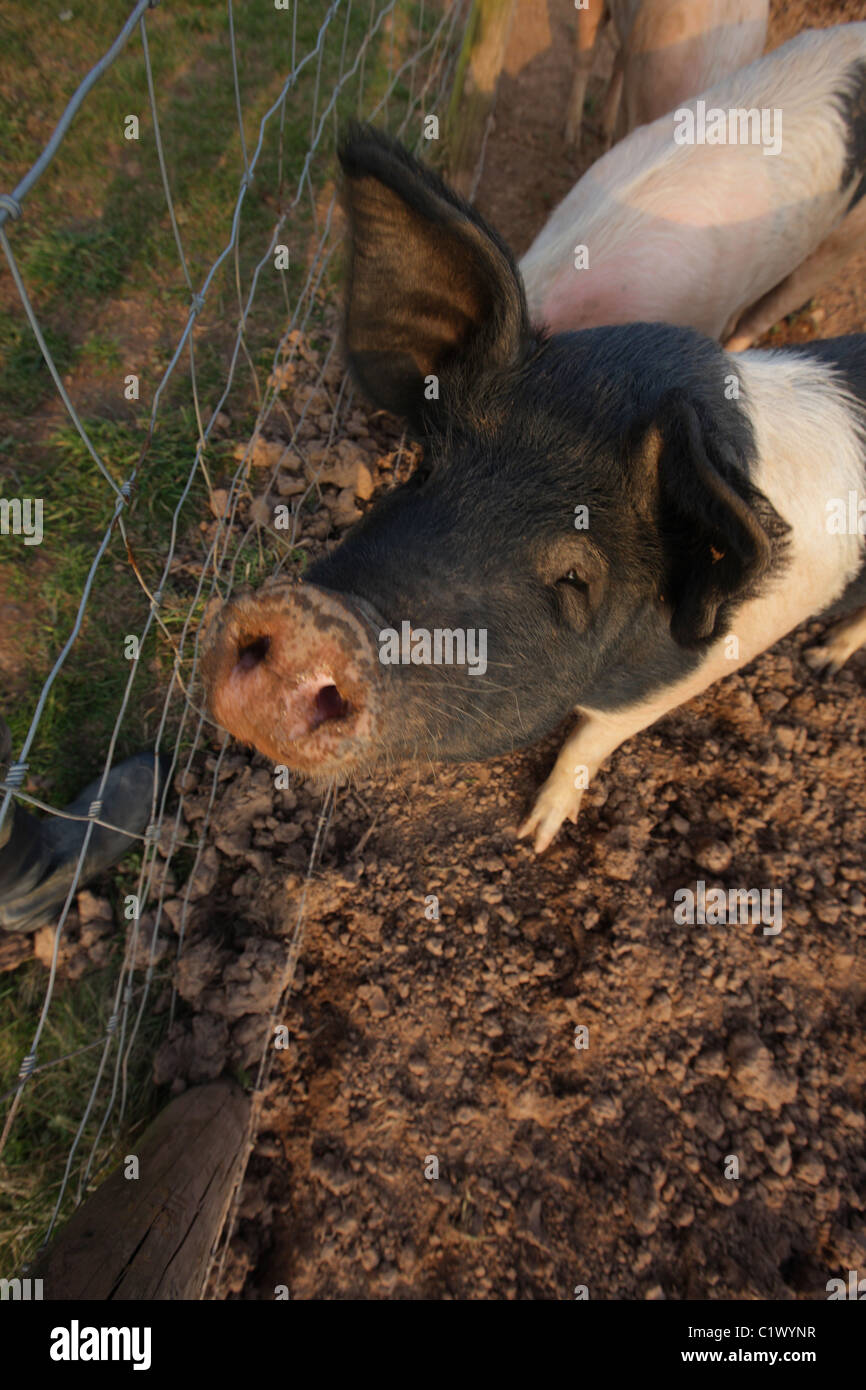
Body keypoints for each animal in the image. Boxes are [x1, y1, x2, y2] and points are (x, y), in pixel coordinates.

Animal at [201, 125, 866, 854]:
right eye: (425, 470)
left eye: (575, 578)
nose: (312, 618)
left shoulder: (670, 688)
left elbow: (590, 739)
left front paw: (532, 837)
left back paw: (826, 659)